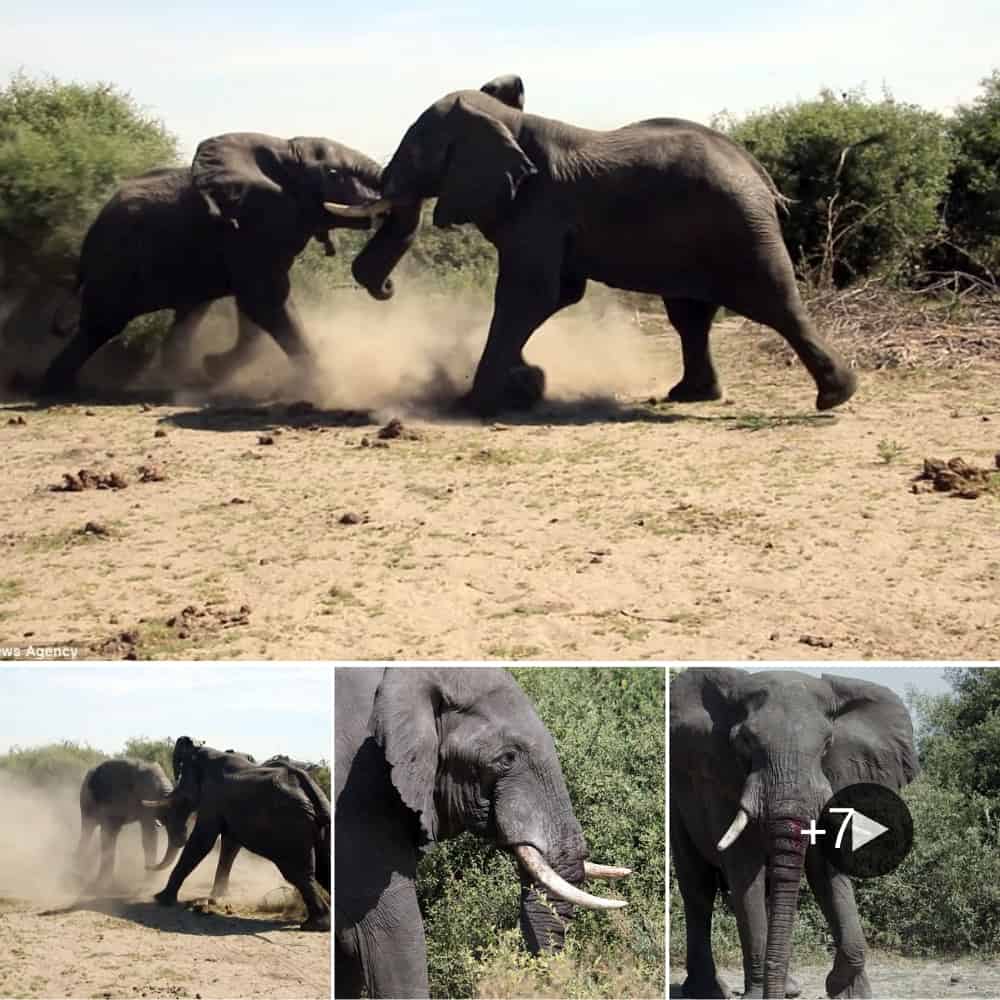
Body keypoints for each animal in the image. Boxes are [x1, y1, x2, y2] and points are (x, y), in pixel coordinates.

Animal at [36, 132, 409, 396]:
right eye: (333, 173)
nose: (389, 286)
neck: (283, 150)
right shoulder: (243, 230)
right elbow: (266, 300)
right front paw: (322, 383)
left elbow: (256, 308)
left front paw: (213, 367)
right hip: (115, 263)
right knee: (102, 325)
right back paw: (60, 390)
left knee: (186, 314)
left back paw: (187, 381)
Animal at [75, 758, 190, 889]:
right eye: (150, 790)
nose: (147, 867)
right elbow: (110, 832)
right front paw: (103, 884)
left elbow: (149, 837)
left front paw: (149, 883)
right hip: (86, 799)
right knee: (89, 829)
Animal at [142, 736, 331, 930]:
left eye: (182, 781)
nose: (146, 867)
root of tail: (309, 786)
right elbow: (230, 845)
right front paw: (216, 897)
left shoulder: (213, 797)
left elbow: (202, 841)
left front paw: (159, 899)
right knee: (323, 869)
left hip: (292, 828)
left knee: (298, 873)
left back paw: (315, 925)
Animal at [347, 75, 858, 417]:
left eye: (416, 151)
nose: (386, 287)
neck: (508, 120)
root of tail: (757, 172)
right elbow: (556, 295)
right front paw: (527, 384)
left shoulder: (540, 208)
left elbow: (529, 295)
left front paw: (474, 403)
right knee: (690, 314)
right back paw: (691, 395)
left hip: (738, 227)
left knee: (772, 300)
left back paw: (834, 396)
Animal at [670, 668, 918, 999]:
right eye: (745, 742)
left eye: (827, 745)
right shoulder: (722, 780)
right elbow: (744, 869)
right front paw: (758, 997)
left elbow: (827, 869)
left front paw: (845, 990)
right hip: (677, 805)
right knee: (698, 887)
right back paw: (708, 990)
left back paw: (788, 989)